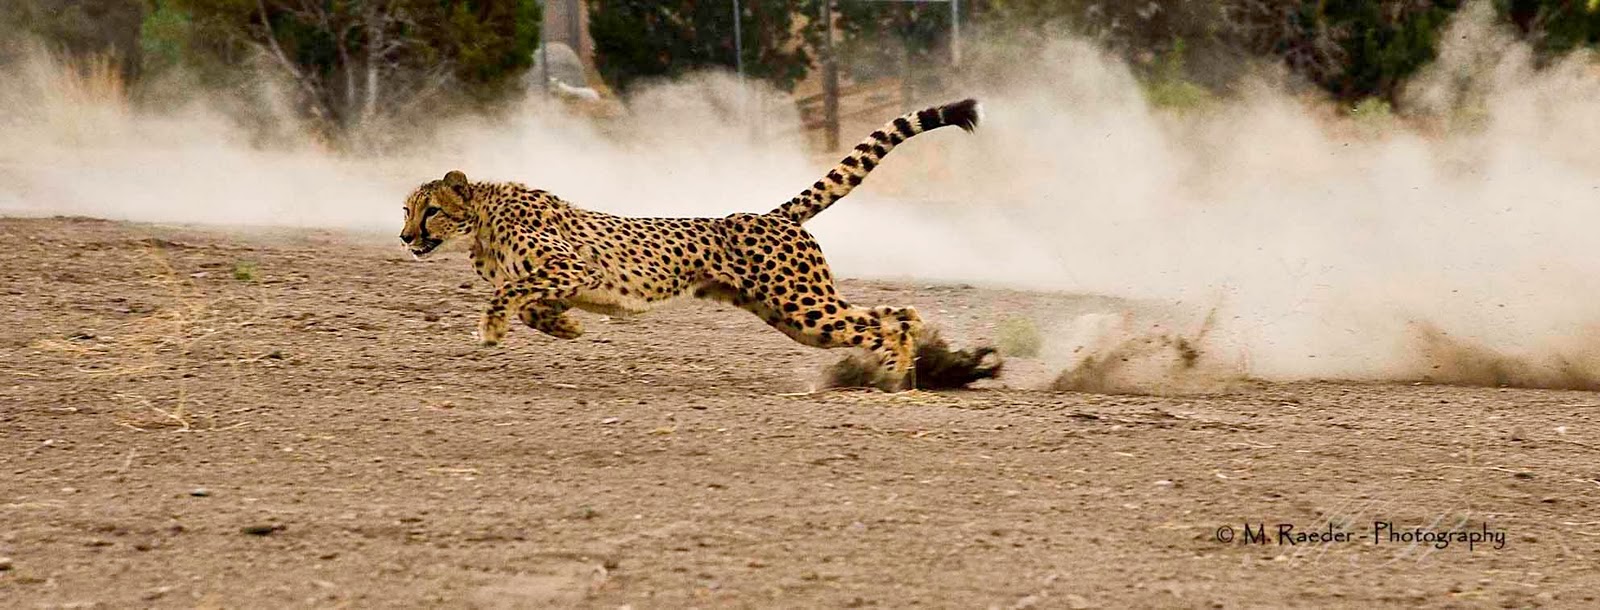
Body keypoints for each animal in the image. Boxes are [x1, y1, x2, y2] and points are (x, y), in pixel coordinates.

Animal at [398, 98, 982, 391]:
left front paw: (493, 328)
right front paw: (566, 327)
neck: (481, 218)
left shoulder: (576, 268)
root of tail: (769, 214)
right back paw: (906, 368)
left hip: (802, 305)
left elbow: (509, 294)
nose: (405, 237)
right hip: (793, 314)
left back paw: (897, 375)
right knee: (897, 311)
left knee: (886, 320)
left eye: (430, 211)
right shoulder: (561, 280)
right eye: (406, 211)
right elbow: (529, 304)